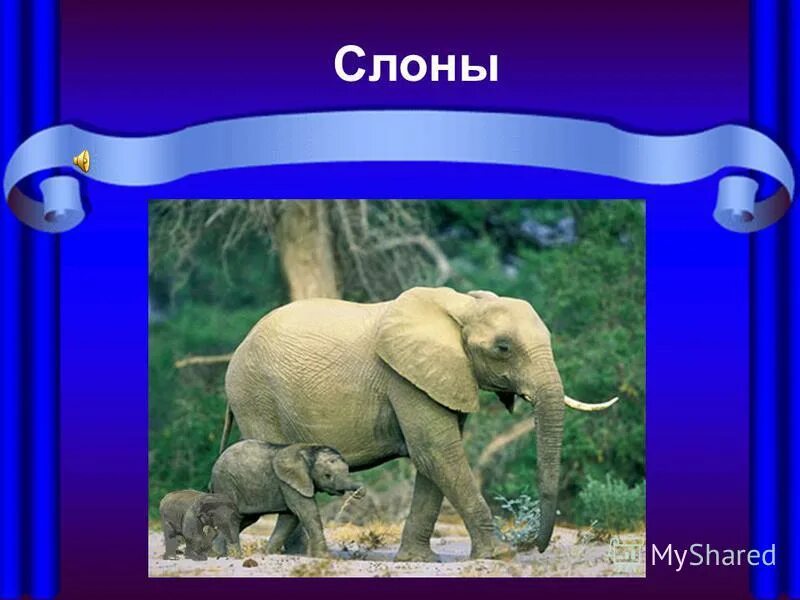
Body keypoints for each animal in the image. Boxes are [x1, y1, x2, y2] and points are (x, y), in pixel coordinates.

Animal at [210, 440, 363, 557]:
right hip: (226, 483)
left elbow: (289, 518)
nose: (359, 492)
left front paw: (269, 554)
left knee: (245, 519)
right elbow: (306, 511)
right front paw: (324, 557)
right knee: (231, 517)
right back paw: (235, 556)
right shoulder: (288, 481)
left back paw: (216, 554)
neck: (308, 451)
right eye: (327, 475)